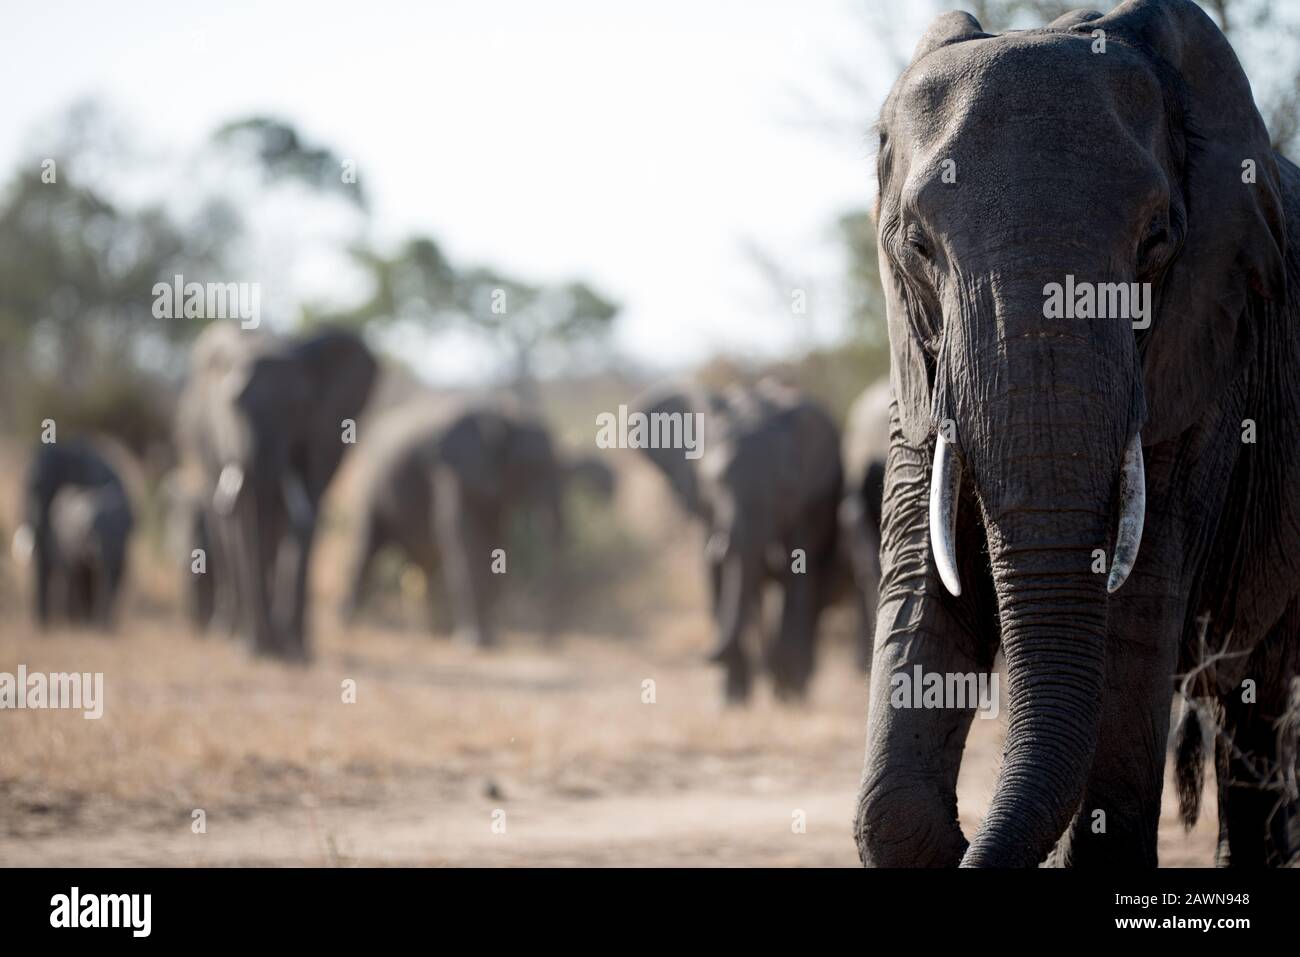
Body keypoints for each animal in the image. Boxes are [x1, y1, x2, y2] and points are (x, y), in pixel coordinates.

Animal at [176, 322, 376, 660]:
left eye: (300, 409)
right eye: (234, 405)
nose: (258, 649)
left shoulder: (325, 432)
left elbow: (306, 510)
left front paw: (298, 654)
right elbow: (243, 525)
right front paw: (251, 647)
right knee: (223, 524)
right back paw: (226, 631)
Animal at [341, 401, 579, 647]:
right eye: (533, 468)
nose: (548, 641)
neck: (504, 418)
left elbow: (497, 546)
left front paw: (491, 638)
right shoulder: (452, 472)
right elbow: (466, 544)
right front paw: (473, 641)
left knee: (424, 562)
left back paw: (432, 631)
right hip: (368, 486)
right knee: (366, 545)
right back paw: (351, 624)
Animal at [634, 379, 845, 703]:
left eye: (785, 488)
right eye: (718, 482)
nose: (703, 654)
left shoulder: (807, 502)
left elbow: (797, 569)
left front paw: (790, 692)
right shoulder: (706, 506)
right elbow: (716, 573)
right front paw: (733, 698)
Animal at [854, 0, 1300, 868]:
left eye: (1158, 242)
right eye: (917, 247)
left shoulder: (1203, 366)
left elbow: (1133, 616)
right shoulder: (916, 384)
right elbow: (923, 594)